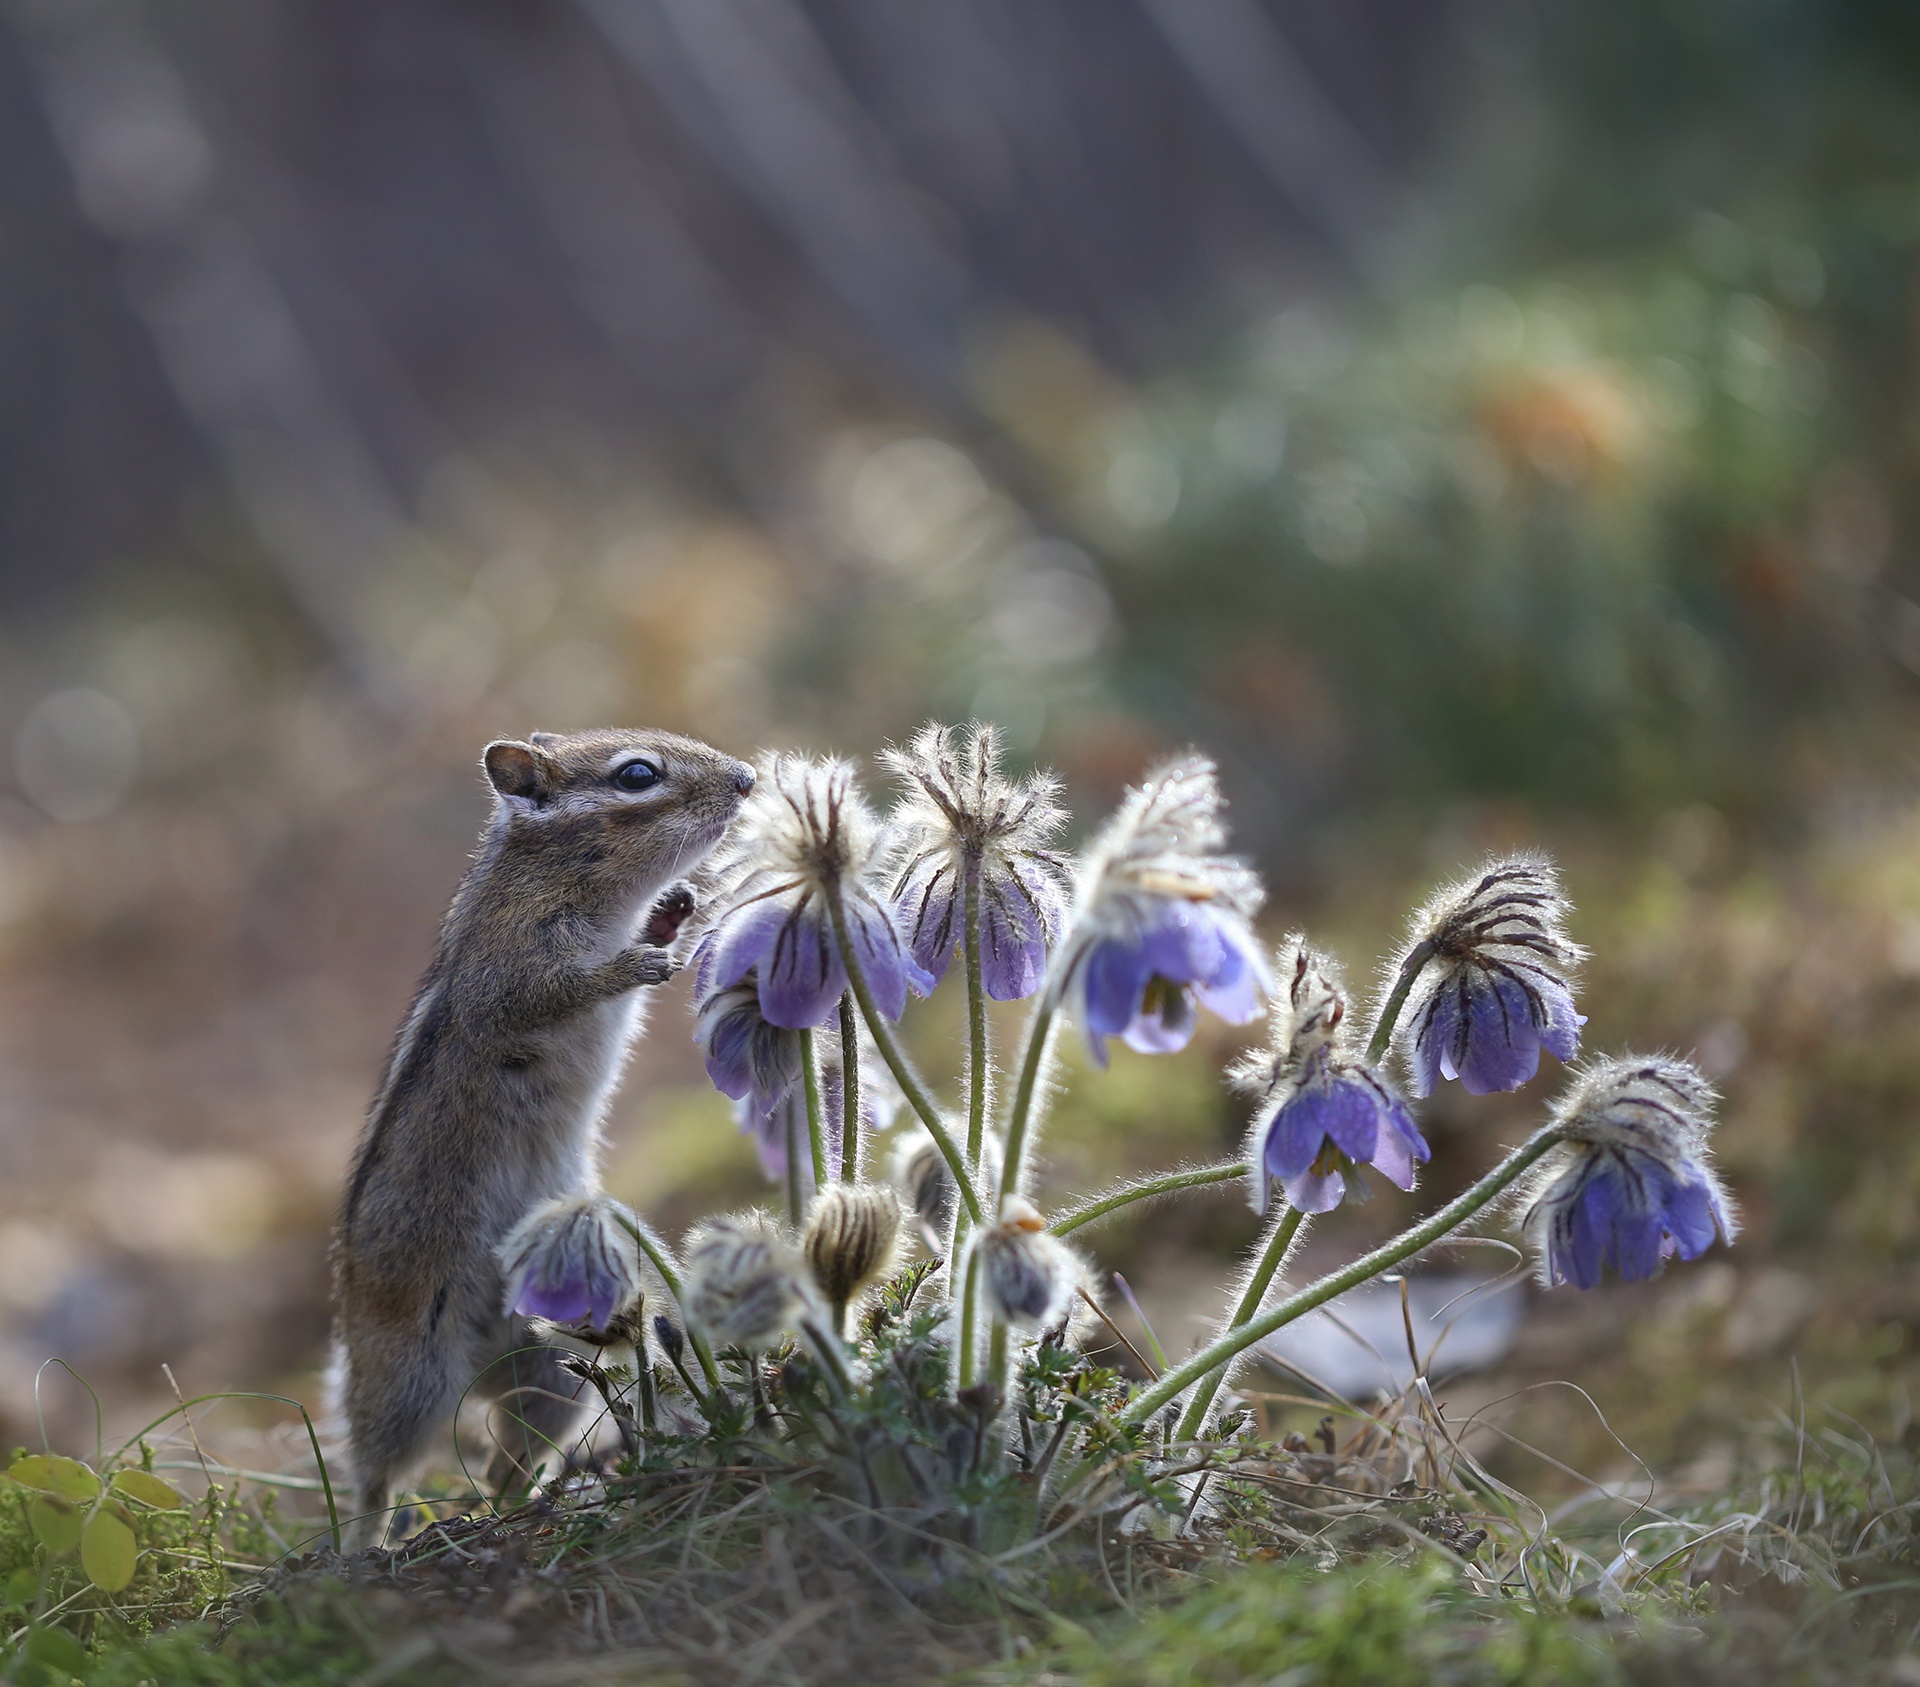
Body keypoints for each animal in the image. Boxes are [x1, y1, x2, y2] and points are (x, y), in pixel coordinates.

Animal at [331, 728, 753, 1549]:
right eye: (638, 775)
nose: (748, 778)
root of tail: (483, 1360)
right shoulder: (511, 968)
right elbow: (554, 990)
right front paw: (632, 960)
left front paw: (671, 913)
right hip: (408, 1371)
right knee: (376, 1466)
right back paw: (366, 1544)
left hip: (554, 1365)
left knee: (512, 1455)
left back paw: (530, 1506)